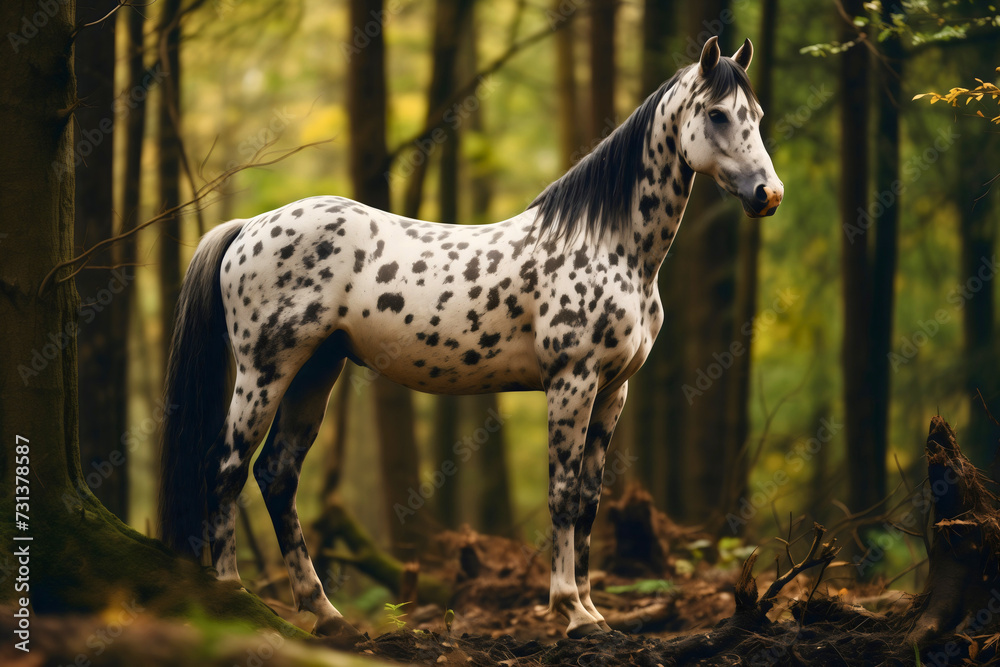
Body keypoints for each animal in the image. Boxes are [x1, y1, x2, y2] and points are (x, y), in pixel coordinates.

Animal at [158, 35, 783, 640]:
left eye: (756, 114)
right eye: (717, 114)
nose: (768, 194)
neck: (612, 247)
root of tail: (249, 228)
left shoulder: (612, 391)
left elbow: (588, 502)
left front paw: (594, 612)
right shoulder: (571, 382)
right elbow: (562, 494)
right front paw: (571, 612)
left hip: (315, 371)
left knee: (276, 475)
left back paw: (328, 614)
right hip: (264, 370)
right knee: (226, 467)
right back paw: (232, 595)